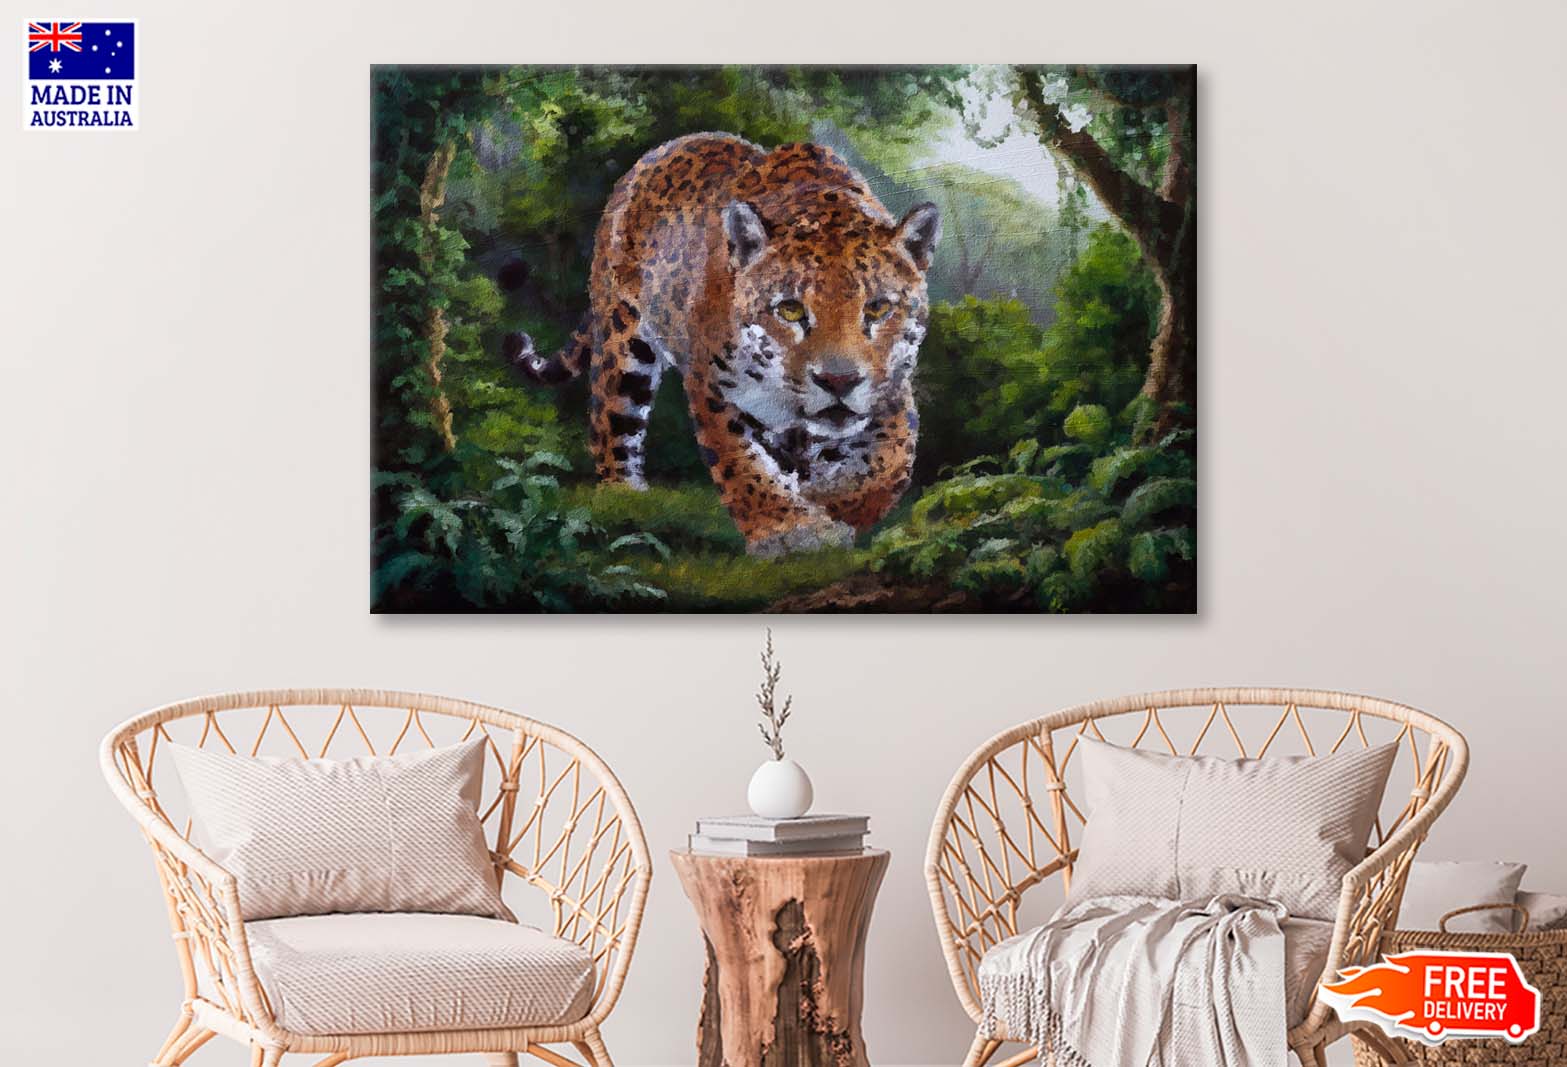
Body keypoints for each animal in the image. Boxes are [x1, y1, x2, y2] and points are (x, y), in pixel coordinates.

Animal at [502, 132, 941, 558]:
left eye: (878, 308)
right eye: (791, 310)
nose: (838, 381)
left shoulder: (893, 392)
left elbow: (889, 467)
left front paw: (826, 502)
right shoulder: (712, 387)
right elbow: (742, 466)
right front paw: (788, 530)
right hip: (623, 340)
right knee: (609, 424)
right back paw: (625, 500)